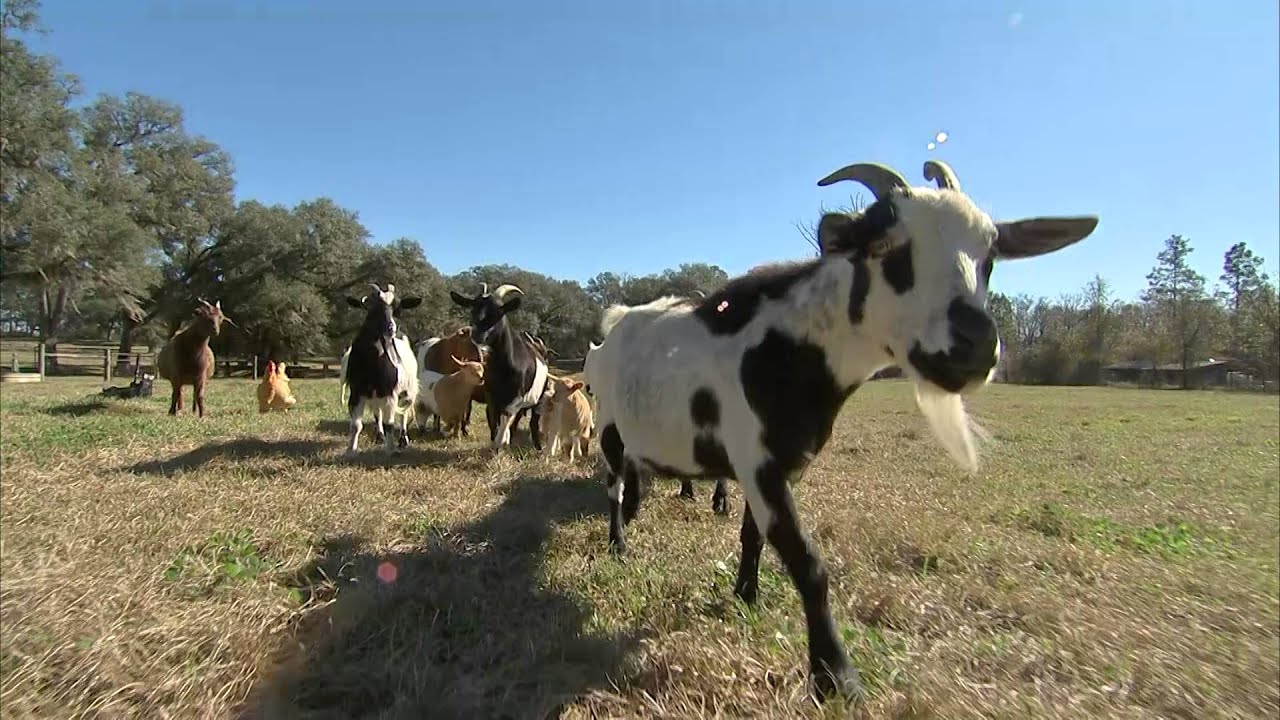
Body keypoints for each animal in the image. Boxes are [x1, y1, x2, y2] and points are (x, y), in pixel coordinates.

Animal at [343, 283, 422, 455]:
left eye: (398, 309)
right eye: (371, 309)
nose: (390, 328)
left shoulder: (390, 393)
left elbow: (390, 424)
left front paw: (391, 450)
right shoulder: (356, 392)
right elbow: (356, 425)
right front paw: (351, 450)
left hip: (408, 390)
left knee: (404, 413)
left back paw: (403, 440)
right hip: (374, 395)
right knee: (377, 413)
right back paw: (379, 436)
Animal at [450, 282, 549, 450]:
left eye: (498, 312)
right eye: (473, 309)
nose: (477, 334)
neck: (504, 368)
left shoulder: (513, 401)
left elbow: (504, 425)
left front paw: (501, 445)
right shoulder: (492, 398)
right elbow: (493, 424)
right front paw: (495, 446)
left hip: (538, 400)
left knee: (533, 422)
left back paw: (537, 447)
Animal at [583, 159, 1098, 702]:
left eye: (991, 258)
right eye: (887, 246)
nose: (974, 348)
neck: (787, 350)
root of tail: (615, 326)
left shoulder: (782, 463)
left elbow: (753, 535)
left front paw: (746, 595)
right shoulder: (757, 459)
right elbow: (808, 562)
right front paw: (835, 675)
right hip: (609, 426)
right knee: (614, 486)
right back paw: (619, 543)